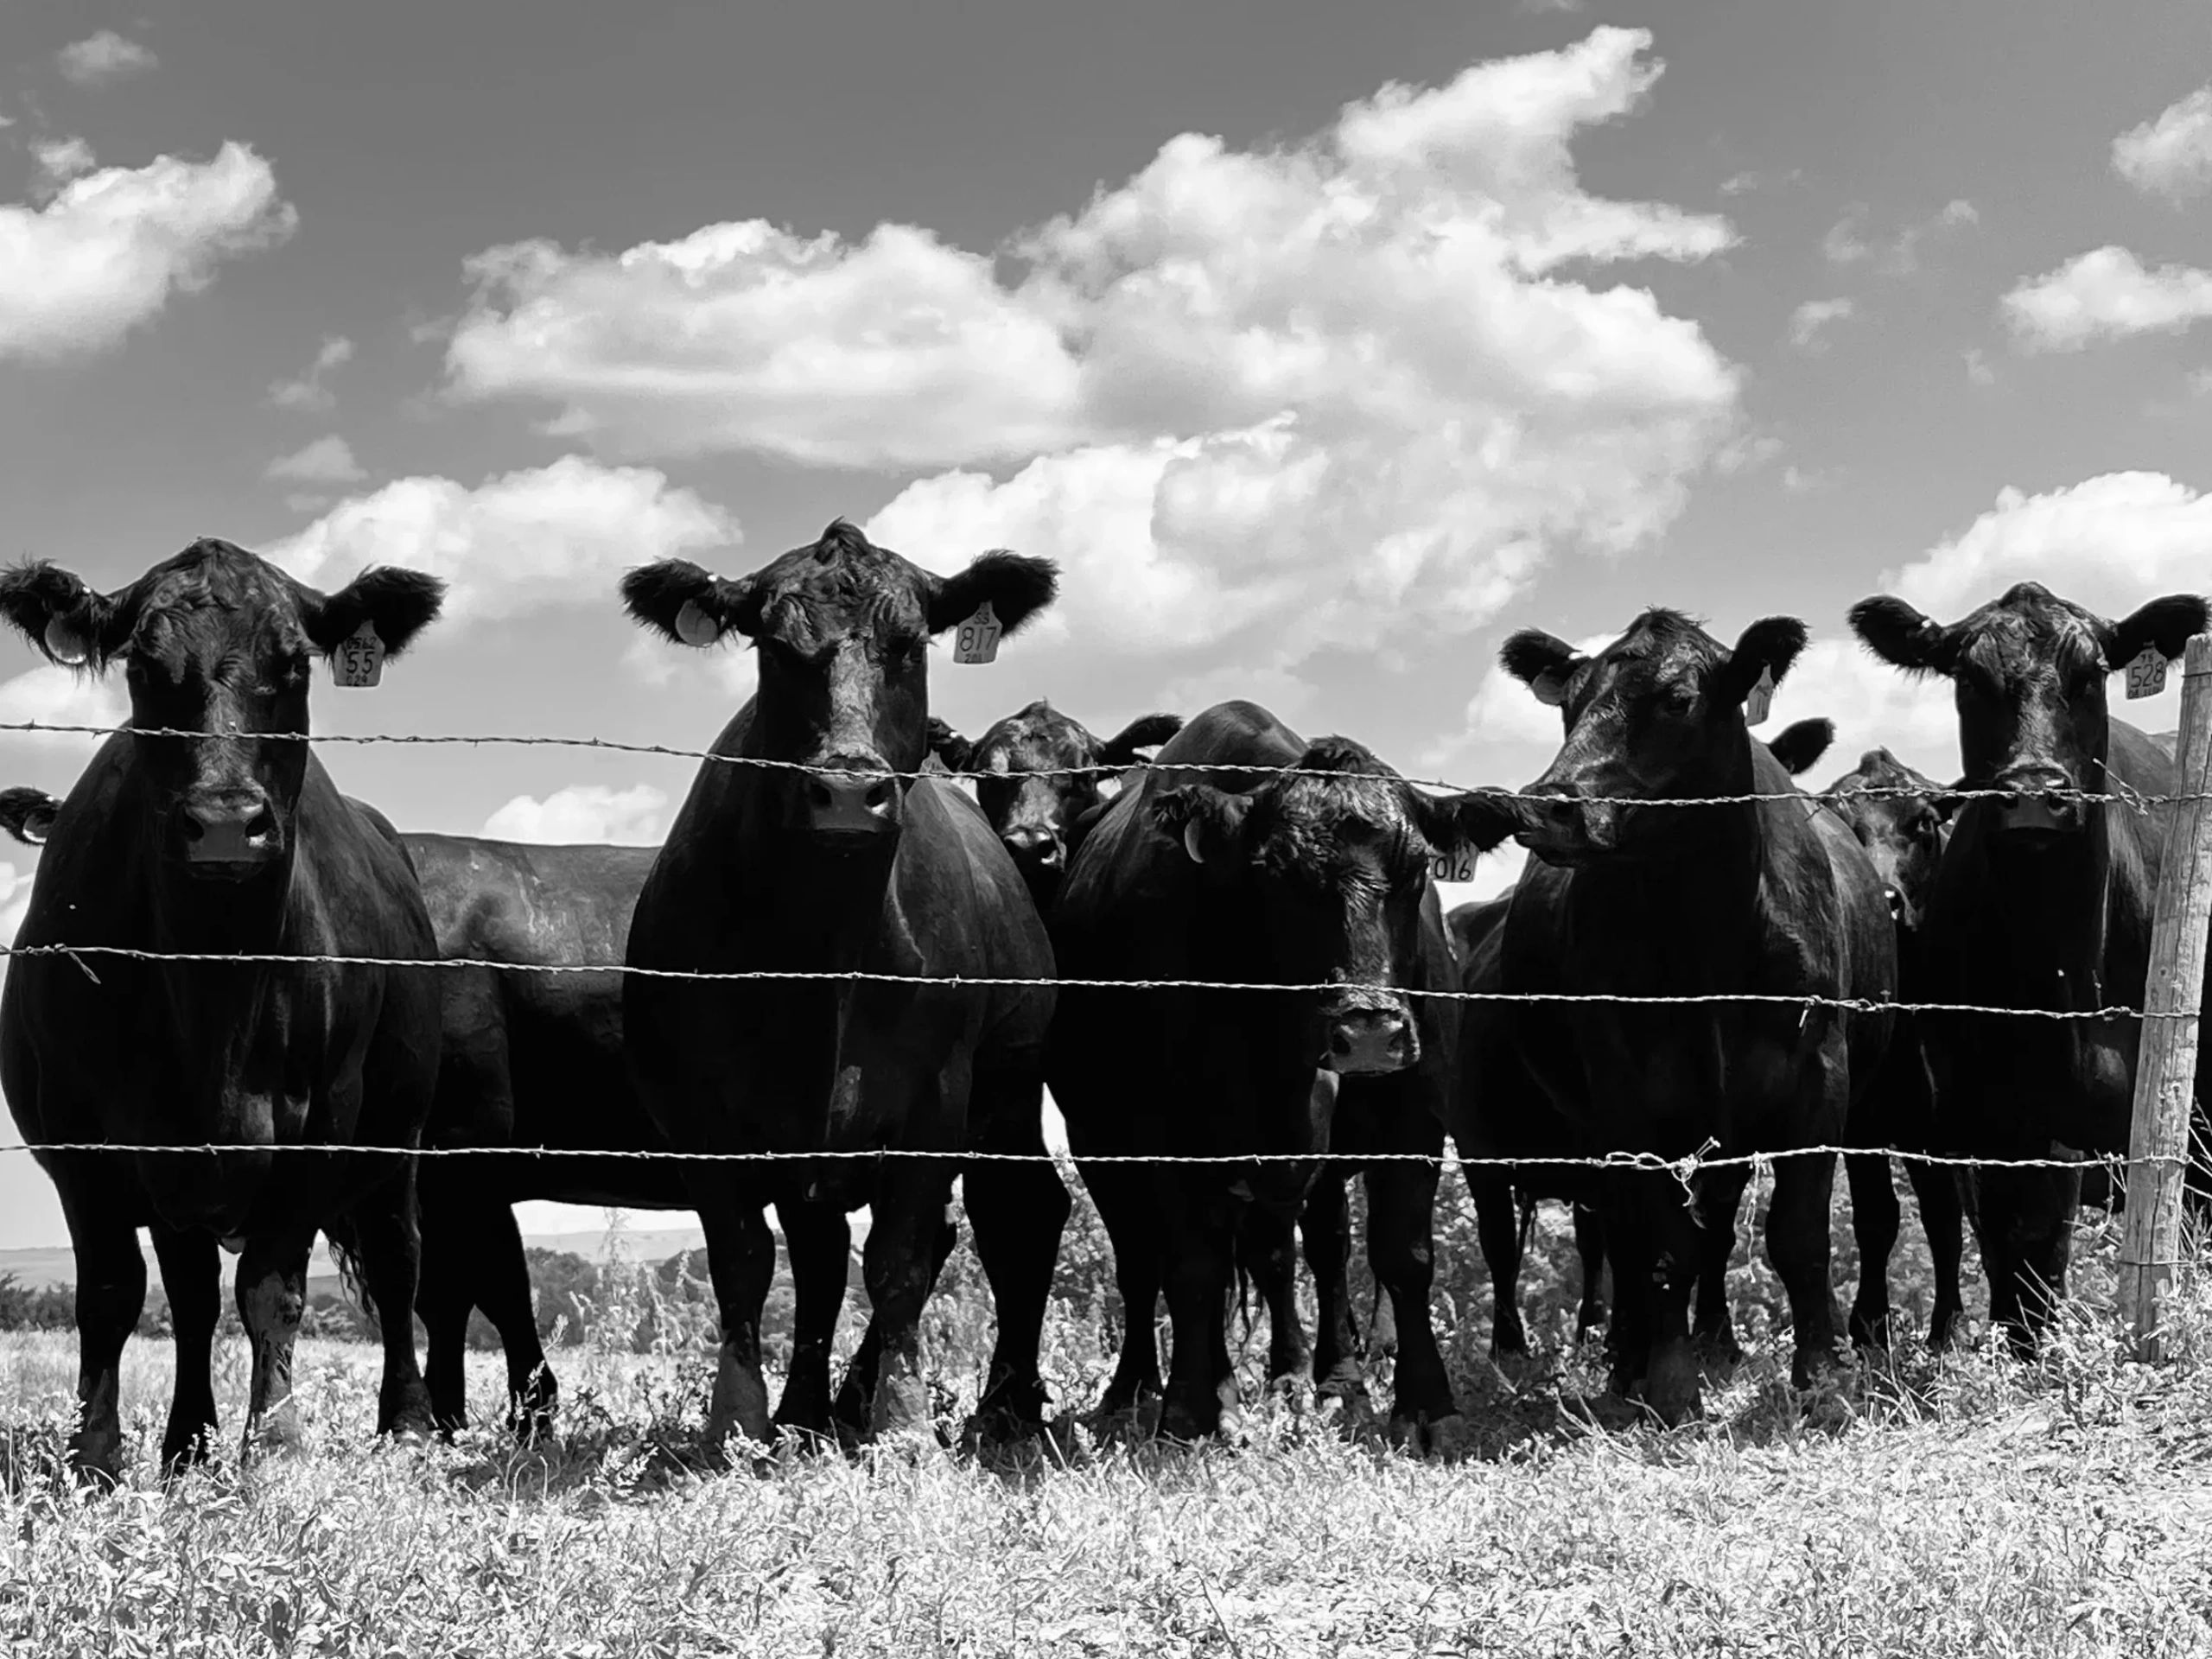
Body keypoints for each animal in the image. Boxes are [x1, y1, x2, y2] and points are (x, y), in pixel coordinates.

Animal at [0, 538, 447, 1480]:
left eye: (294, 664)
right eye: (142, 668)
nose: (223, 823)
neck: (214, 989)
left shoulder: (319, 1127)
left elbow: (272, 1291)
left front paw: (273, 1446)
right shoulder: (84, 1142)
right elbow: (117, 1294)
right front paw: (104, 1456)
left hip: (401, 1135)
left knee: (399, 1267)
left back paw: (407, 1424)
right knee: (193, 1295)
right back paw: (185, 1444)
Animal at [617, 518, 1066, 1450]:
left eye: (909, 643)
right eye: (774, 647)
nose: (849, 793)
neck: (823, 950)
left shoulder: (936, 1099)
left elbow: (896, 1261)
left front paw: (901, 1422)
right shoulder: (697, 1112)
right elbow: (746, 1260)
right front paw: (740, 1420)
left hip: (1008, 1094)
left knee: (1019, 1215)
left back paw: (1000, 1404)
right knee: (823, 1259)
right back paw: (809, 1409)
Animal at [1050, 700, 1482, 1446]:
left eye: (1417, 869)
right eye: (1279, 873)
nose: (1369, 1029)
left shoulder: (1416, 1108)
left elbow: (1402, 1255)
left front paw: (1426, 1405)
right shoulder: (1159, 1127)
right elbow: (1191, 1266)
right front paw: (1193, 1409)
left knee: (1312, 1255)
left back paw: (1326, 1380)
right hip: (1101, 1142)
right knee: (1148, 1263)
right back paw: (1139, 1388)